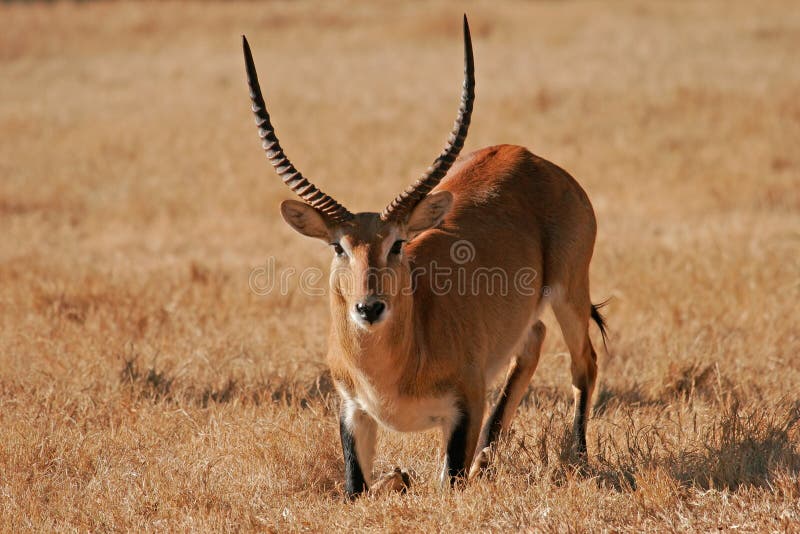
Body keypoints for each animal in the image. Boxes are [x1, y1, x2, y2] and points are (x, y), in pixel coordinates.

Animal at [242, 16, 607, 497]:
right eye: (339, 246)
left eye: (397, 243)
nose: (369, 308)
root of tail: (526, 156)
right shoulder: (352, 411)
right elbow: (357, 490)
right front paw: (399, 476)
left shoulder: (464, 404)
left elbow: (447, 481)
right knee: (533, 339)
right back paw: (487, 461)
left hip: (570, 292)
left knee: (584, 362)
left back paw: (576, 458)